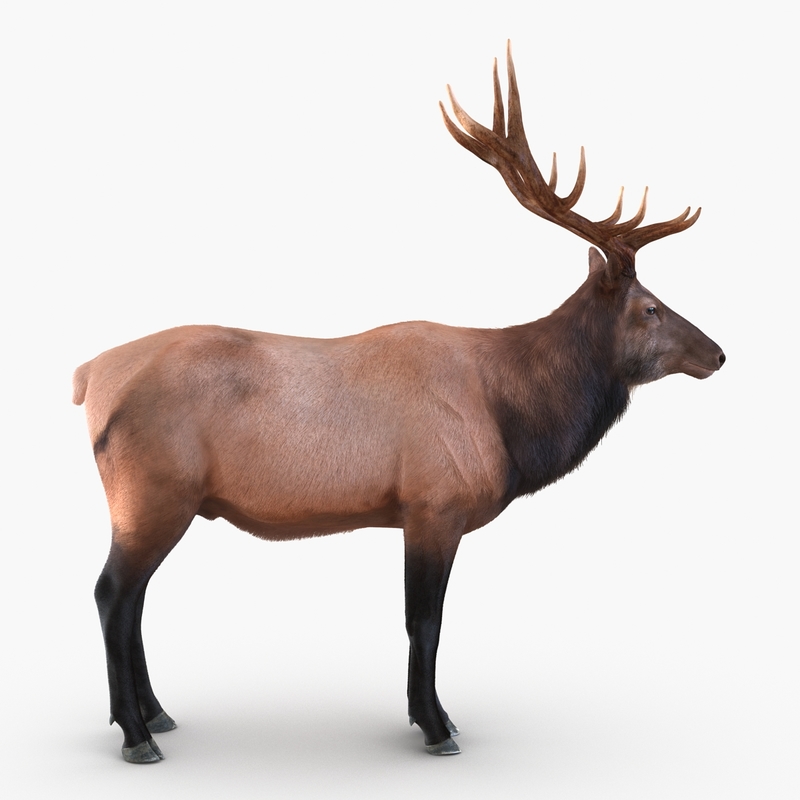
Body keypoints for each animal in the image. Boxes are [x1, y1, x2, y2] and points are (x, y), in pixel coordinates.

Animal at [73, 42, 725, 763]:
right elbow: (426, 621)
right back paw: (136, 734)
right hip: (153, 490)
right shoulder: (433, 503)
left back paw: (157, 714)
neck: (513, 418)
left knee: (134, 599)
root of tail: (89, 376)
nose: (718, 354)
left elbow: (422, 622)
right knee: (111, 593)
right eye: (650, 307)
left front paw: (433, 718)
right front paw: (436, 725)